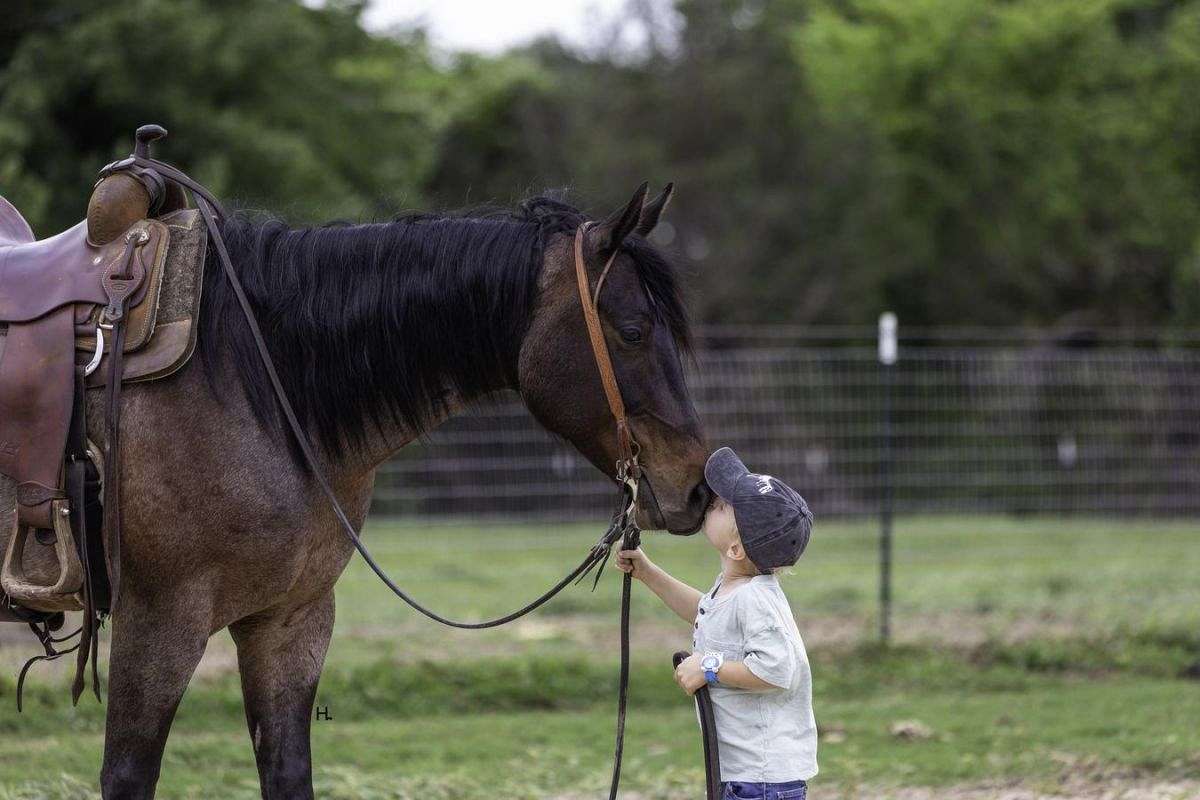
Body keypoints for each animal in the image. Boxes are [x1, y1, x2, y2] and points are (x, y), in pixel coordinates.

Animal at [62, 182, 709, 798]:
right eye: (633, 332)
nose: (698, 488)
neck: (252, 384)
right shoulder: (160, 620)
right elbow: (128, 775)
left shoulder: (291, 620)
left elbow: (287, 769)